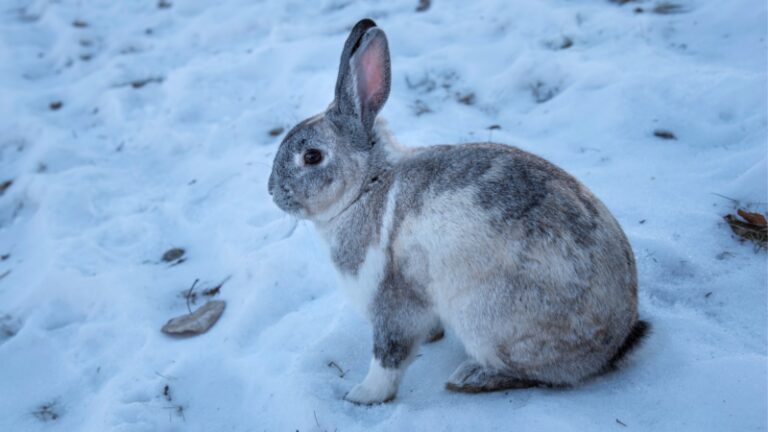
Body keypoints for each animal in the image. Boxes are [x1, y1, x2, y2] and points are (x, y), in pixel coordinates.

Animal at [268, 18, 648, 405]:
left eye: (312, 156)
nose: (272, 191)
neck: (367, 187)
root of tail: (613, 342)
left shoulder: (392, 300)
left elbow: (389, 355)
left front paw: (362, 395)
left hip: (488, 321)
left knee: (538, 375)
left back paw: (471, 378)